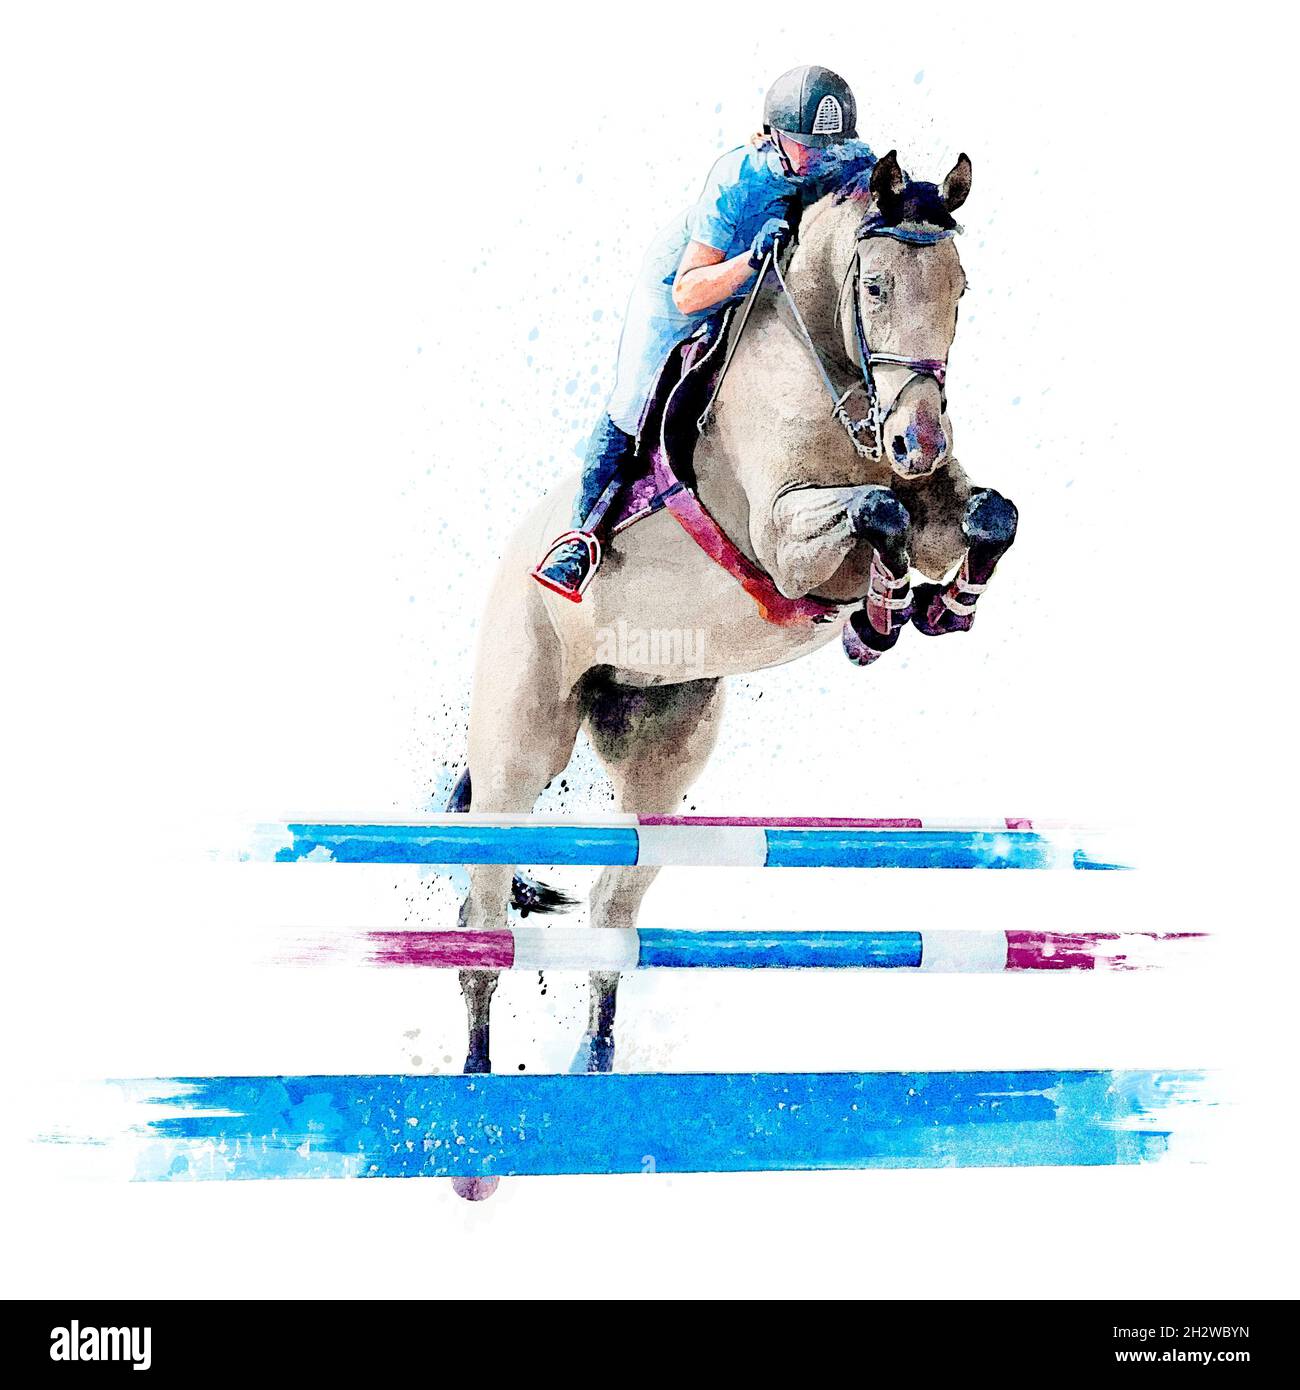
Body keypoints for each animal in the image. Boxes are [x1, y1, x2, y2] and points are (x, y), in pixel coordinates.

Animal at [447, 151, 1018, 1196]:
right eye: (876, 287)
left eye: (961, 290)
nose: (921, 441)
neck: (841, 382)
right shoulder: (787, 543)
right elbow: (872, 514)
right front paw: (881, 614)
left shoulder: (935, 502)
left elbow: (987, 514)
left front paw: (934, 606)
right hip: (518, 745)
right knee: (483, 911)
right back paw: (472, 1133)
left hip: (661, 754)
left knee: (613, 913)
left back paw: (593, 1080)